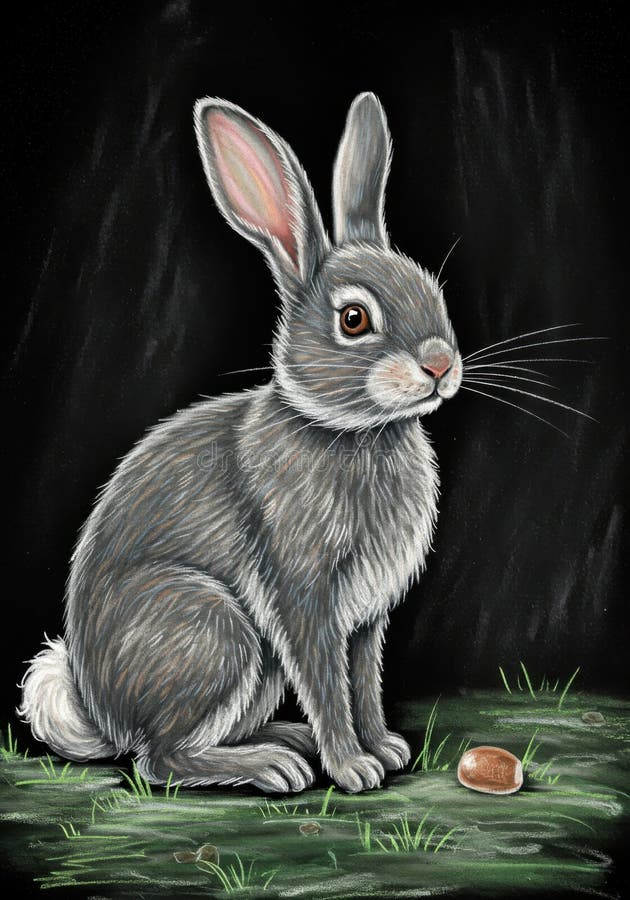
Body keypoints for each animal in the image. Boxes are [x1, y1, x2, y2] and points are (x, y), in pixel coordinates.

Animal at [19, 93, 462, 793]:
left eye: (432, 292)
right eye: (354, 319)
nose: (441, 365)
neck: (352, 431)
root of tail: (102, 713)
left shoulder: (367, 620)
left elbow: (364, 683)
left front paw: (387, 750)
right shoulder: (306, 596)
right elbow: (329, 684)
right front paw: (352, 768)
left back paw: (282, 739)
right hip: (211, 631)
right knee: (160, 758)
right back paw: (274, 765)